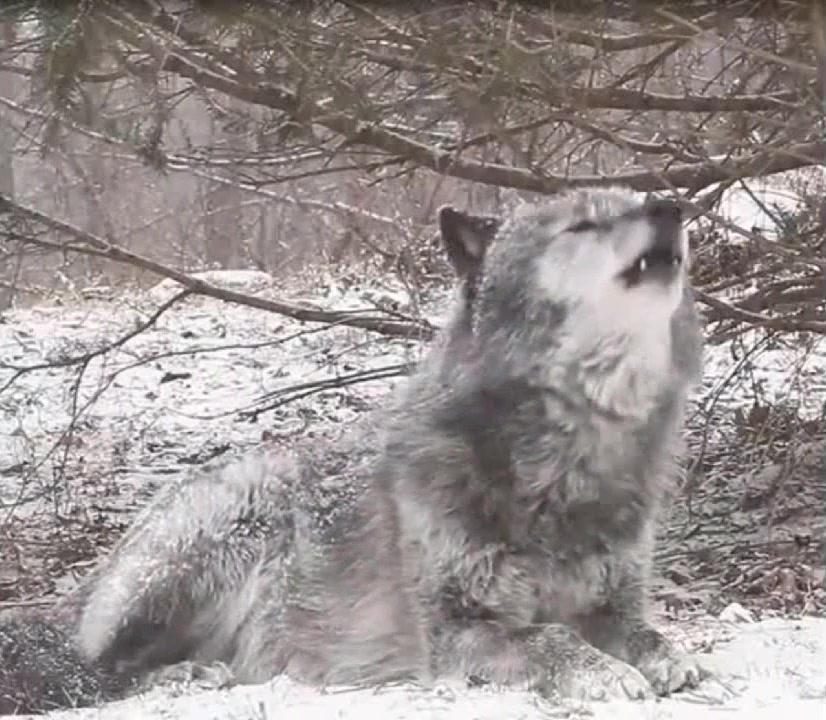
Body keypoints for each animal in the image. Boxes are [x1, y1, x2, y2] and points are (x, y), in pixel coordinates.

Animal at [0, 185, 704, 714]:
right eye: (583, 223)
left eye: (636, 198)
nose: (672, 206)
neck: (570, 452)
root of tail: (91, 579)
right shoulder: (455, 630)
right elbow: (550, 636)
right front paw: (604, 672)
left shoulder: (613, 600)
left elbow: (645, 633)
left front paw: (669, 658)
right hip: (226, 524)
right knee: (96, 668)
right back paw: (181, 677)